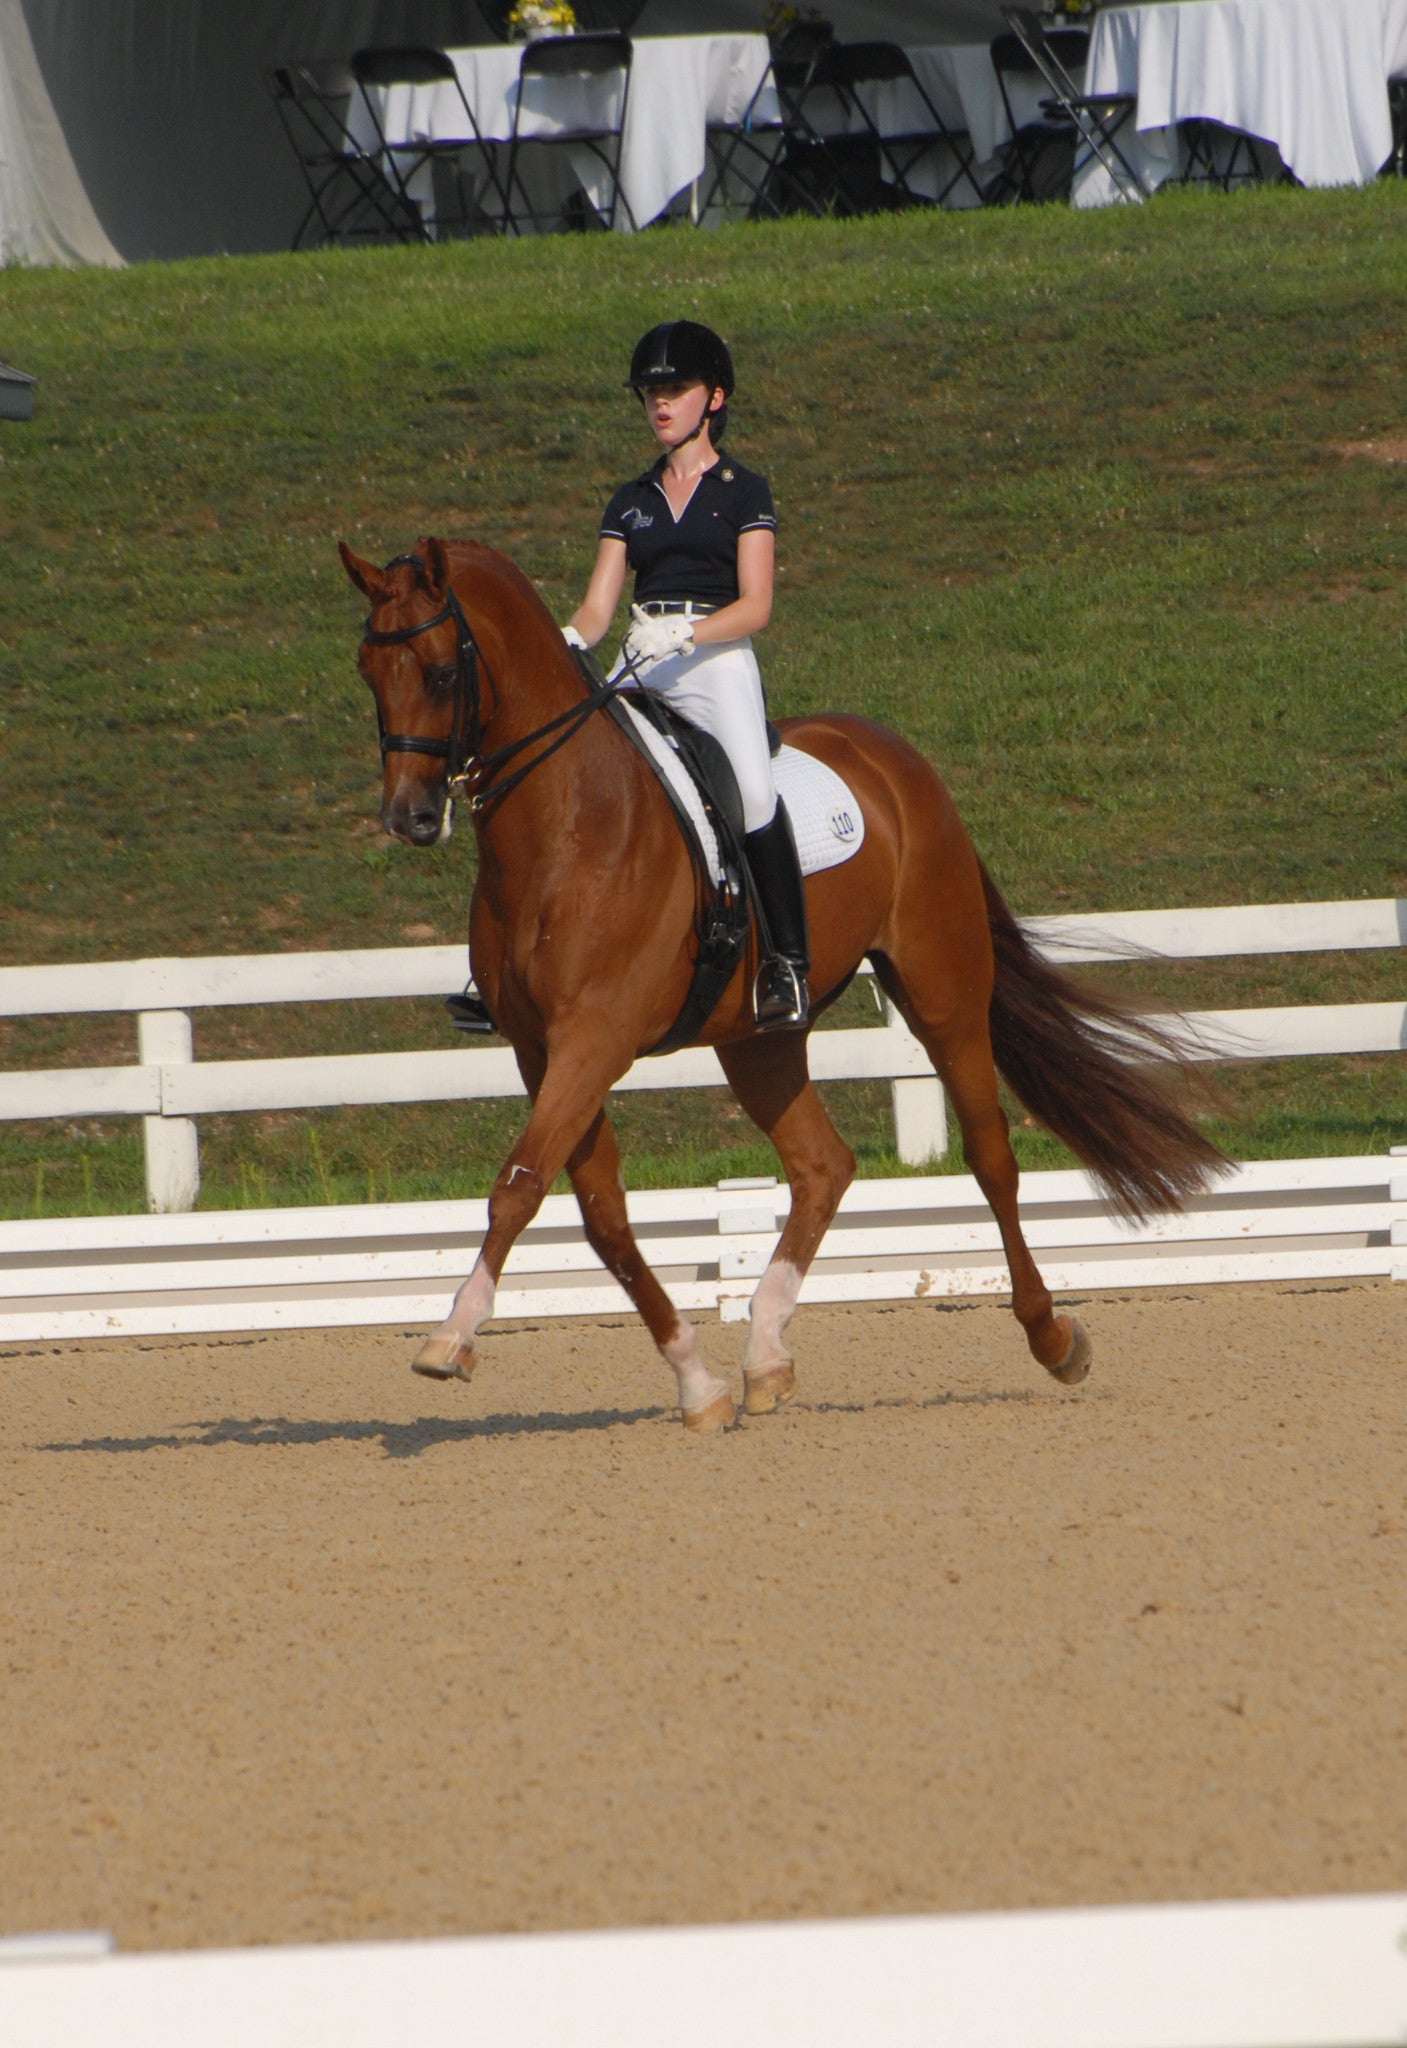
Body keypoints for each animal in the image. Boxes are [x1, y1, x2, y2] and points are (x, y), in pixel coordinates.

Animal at [340, 535, 1227, 1433]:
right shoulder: (540, 1049)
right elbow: (602, 1218)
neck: (568, 821)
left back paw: (1052, 1338)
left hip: (941, 988)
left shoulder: (594, 1040)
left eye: (441, 671)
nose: (409, 819)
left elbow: (518, 1187)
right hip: (756, 1039)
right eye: (366, 670)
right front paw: (696, 1385)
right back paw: (765, 1353)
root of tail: (891, 754)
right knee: (821, 1166)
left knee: (989, 1154)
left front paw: (451, 1337)